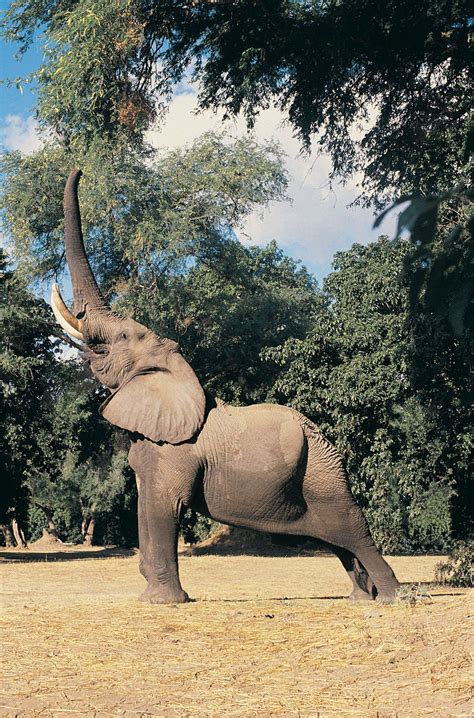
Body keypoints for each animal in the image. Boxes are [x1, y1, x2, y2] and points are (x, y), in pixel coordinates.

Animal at [51, 168, 400, 604]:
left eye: (121, 338)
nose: (81, 170)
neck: (175, 368)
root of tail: (322, 437)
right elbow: (145, 504)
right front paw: (151, 596)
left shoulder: (174, 452)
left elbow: (162, 505)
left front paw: (164, 603)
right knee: (338, 541)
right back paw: (360, 598)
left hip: (322, 472)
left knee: (352, 527)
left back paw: (392, 598)